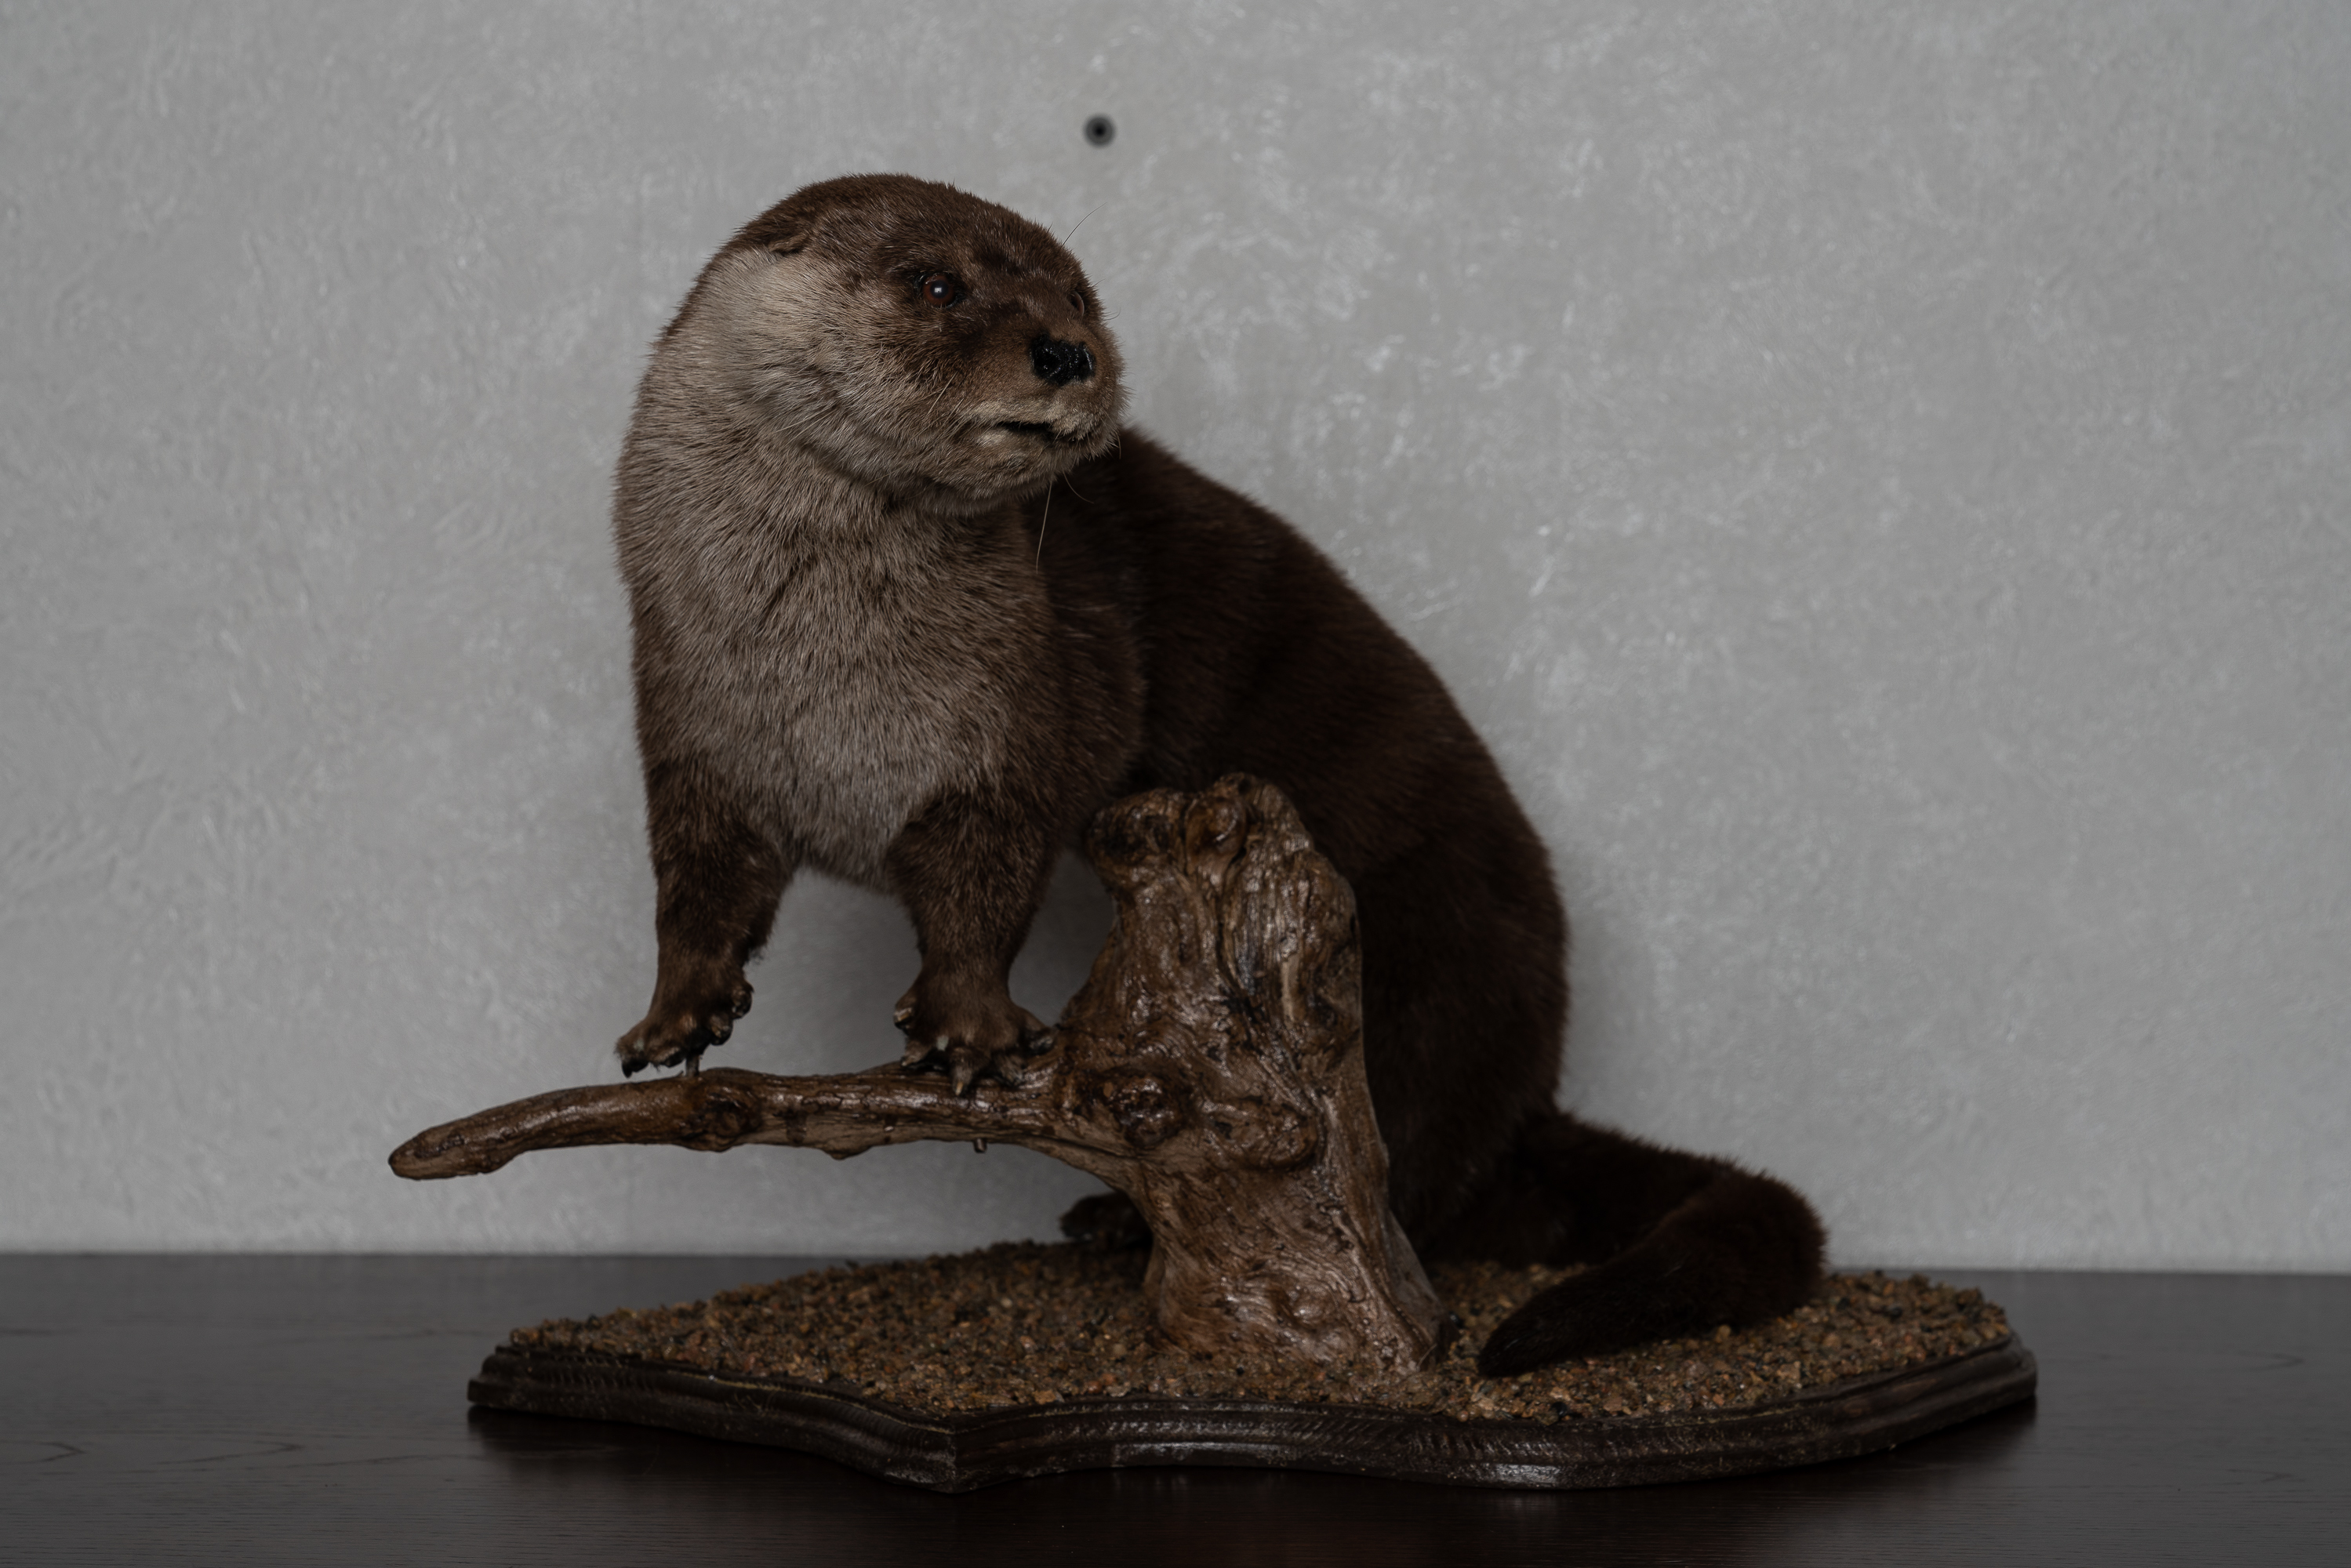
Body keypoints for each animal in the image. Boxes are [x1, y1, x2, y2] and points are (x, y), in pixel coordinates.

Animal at [609, 174, 1824, 1374]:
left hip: (1429, 976)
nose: (1065, 351)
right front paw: (675, 1013)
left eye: (1079, 293)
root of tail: (1528, 1102)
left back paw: (1129, 1220)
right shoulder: (691, 731)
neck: (821, 676)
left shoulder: (1014, 719)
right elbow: (695, 884)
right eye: (937, 283)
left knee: (1413, 1170)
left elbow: (986, 882)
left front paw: (968, 1023)